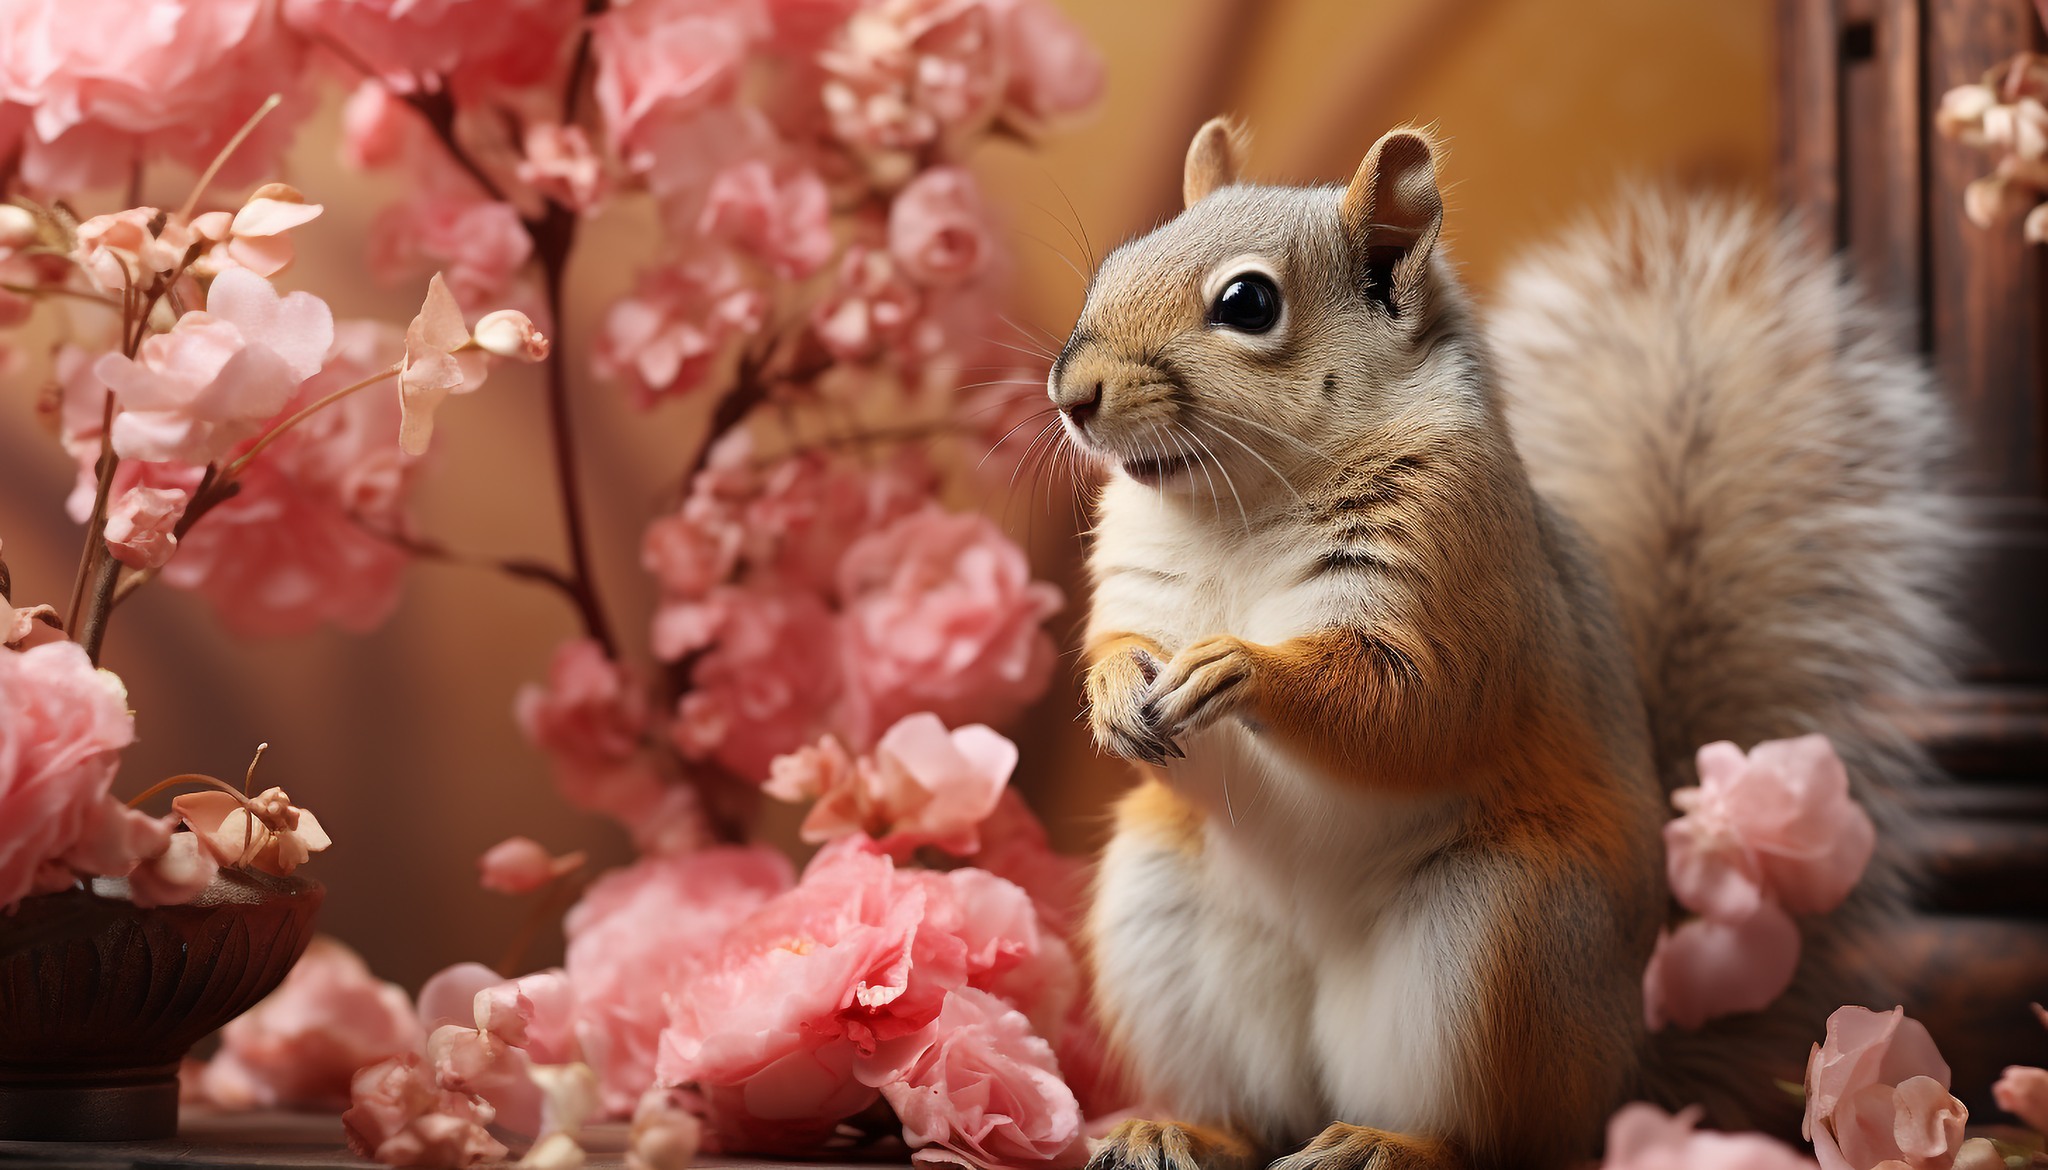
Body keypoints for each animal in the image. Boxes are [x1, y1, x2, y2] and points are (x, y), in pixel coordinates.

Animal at [1052, 118, 1959, 1170]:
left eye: (1248, 303)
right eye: (1110, 265)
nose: (1071, 394)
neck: (1242, 506)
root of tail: (1622, 1074)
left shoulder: (1460, 577)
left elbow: (1414, 707)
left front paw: (1244, 669)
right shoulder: (1138, 591)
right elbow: (1120, 644)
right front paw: (1117, 691)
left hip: (1497, 939)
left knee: (1492, 1135)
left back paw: (1387, 1144)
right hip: (1167, 922)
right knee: (1254, 1110)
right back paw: (1179, 1126)